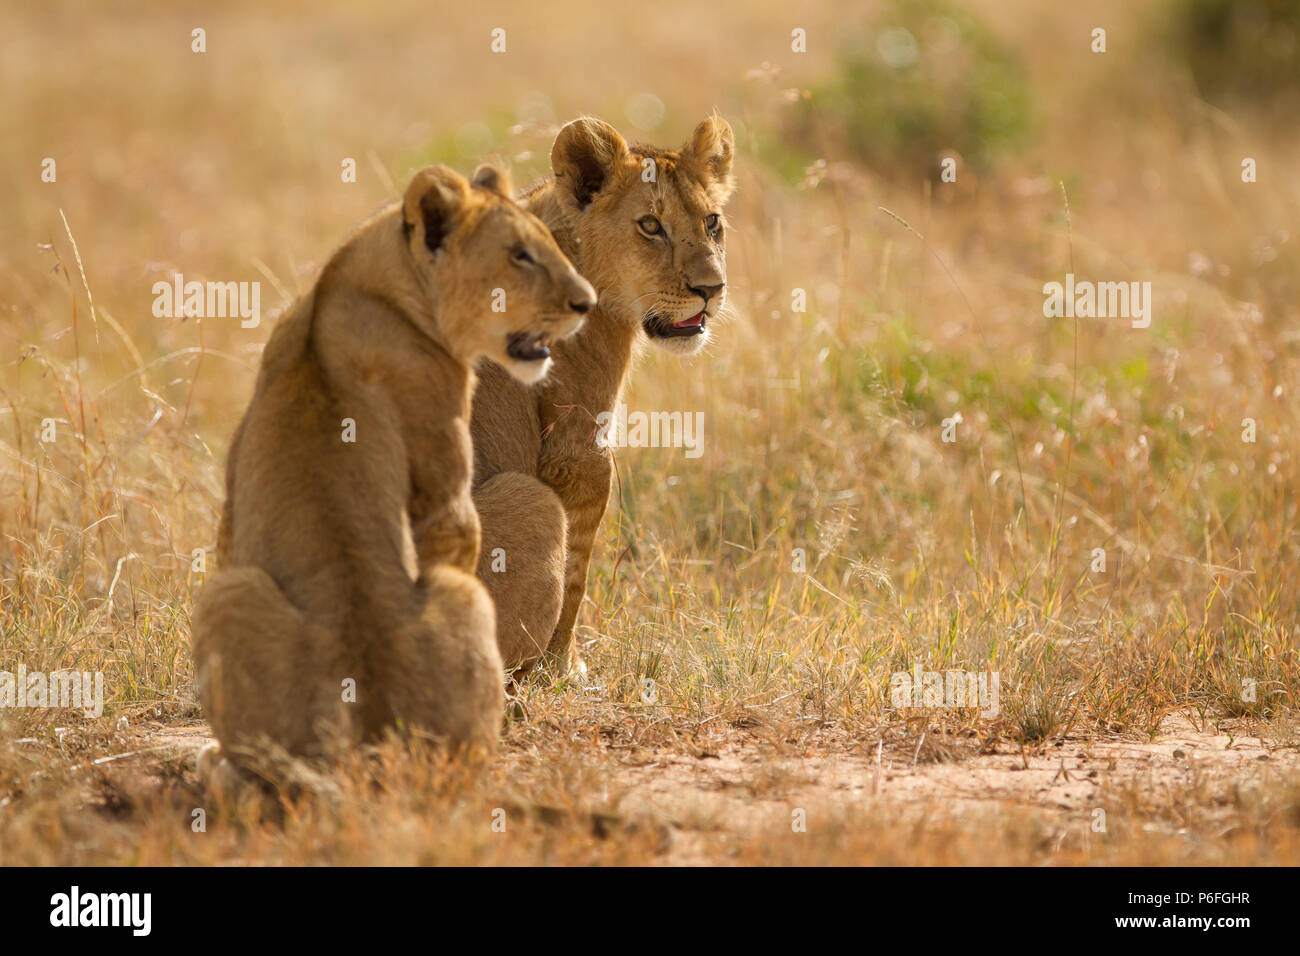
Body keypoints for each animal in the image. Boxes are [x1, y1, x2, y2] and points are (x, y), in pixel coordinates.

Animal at [190, 163, 595, 783]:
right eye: (520, 256)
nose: (587, 302)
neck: (355, 281)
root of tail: (367, 730)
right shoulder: (444, 473)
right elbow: (452, 525)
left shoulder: (235, 506)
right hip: (462, 592)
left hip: (229, 589)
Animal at [469, 115, 735, 676]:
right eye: (650, 225)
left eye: (712, 222)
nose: (711, 288)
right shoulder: (578, 453)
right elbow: (576, 572)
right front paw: (562, 670)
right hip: (527, 498)